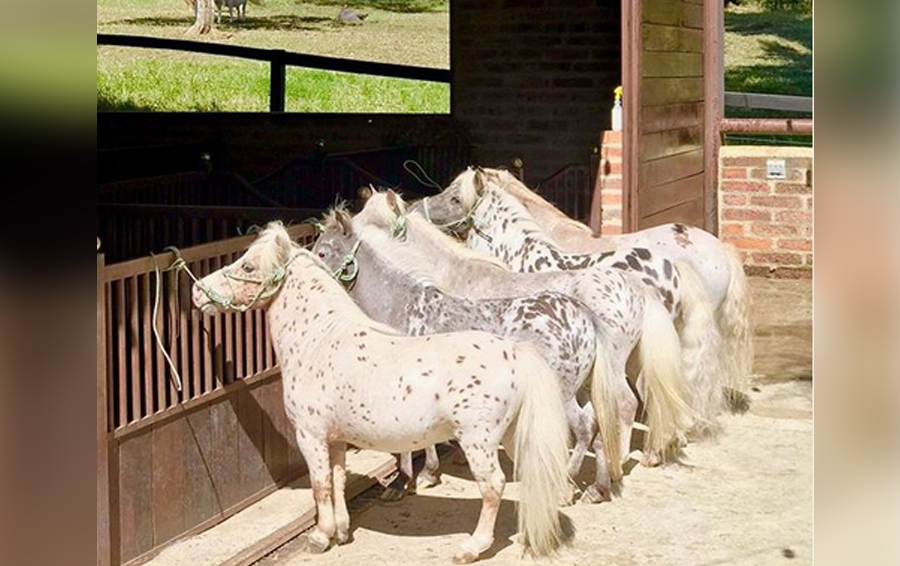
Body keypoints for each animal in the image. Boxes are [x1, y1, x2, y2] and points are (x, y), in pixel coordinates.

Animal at [192, 222, 571, 563]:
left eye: (248, 266)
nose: (197, 293)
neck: (320, 338)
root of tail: (516, 353)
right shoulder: (336, 440)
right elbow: (338, 480)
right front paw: (341, 532)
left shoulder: (311, 436)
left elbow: (320, 484)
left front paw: (320, 537)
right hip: (512, 435)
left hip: (478, 441)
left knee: (493, 485)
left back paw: (471, 548)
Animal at [313, 205, 624, 504]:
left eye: (323, 251)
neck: (402, 307)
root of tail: (584, 315)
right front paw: (422, 476)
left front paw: (405, 482)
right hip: (584, 391)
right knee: (598, 430)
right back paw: (597, 490)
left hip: (563, 393)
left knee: (584, 430)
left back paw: (565, 487)